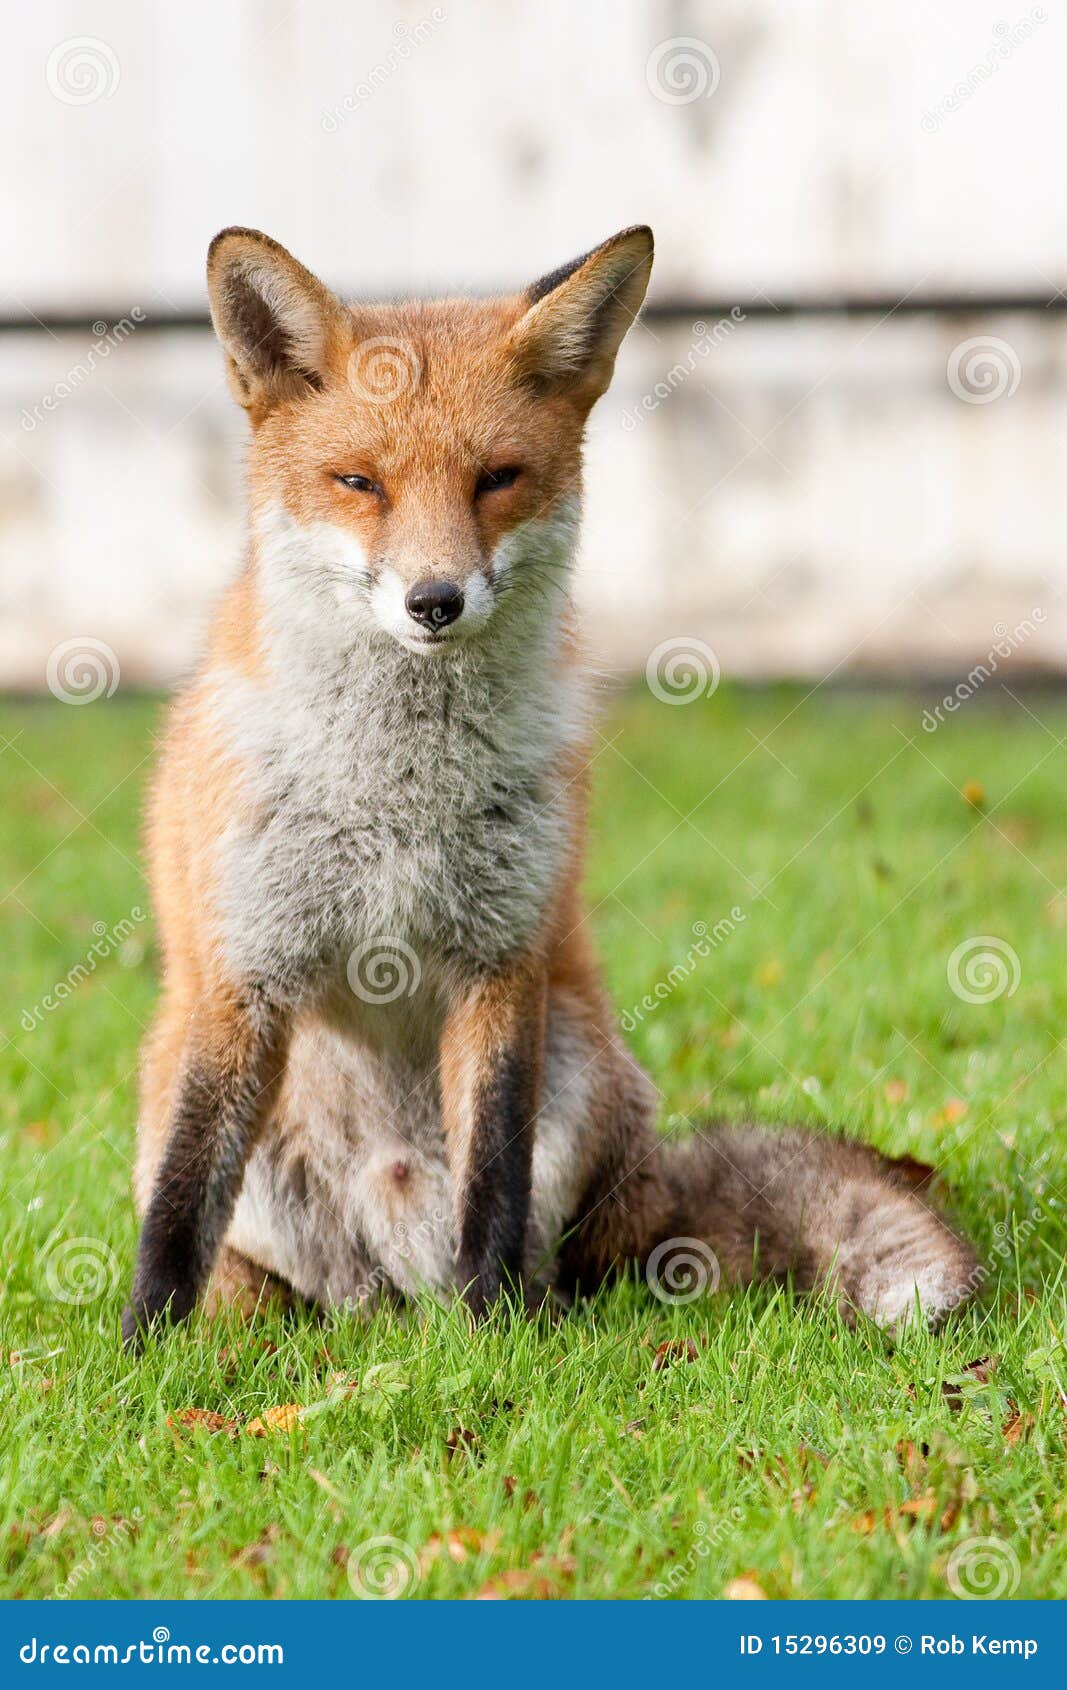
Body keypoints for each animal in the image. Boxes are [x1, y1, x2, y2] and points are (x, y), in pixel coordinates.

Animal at [122, 223, 978, 1345]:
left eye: (496, 477)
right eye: (359, 482)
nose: (434, 600)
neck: (397, 789)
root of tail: (385, 1298)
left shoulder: (501, 961)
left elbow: (493, 1174)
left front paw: (495, 1345)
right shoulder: (241, 975)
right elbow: (182, 1206)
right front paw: (143, 1354)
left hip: (574, 1061)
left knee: (550, 1250)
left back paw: (513, 1316)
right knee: (264, 1268)